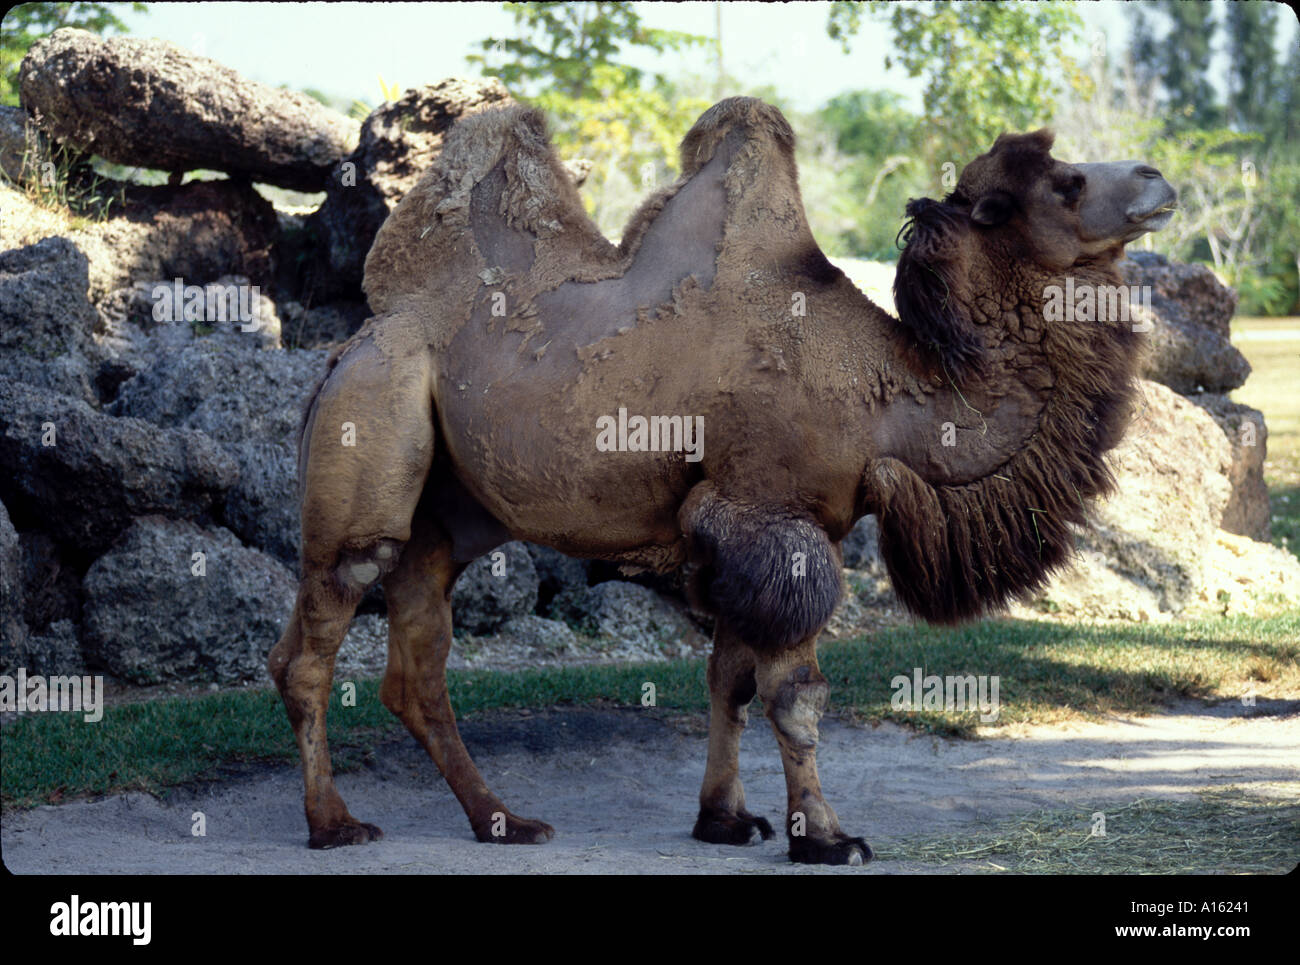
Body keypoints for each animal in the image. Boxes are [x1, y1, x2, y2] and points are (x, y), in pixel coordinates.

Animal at [268, 96, 1176, 864]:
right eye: (1066, 182)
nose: (1157, 179)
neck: (885, 391)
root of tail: (347, 346)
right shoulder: (769, 514)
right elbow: (795, 694)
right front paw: (828, 837)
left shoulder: (758, 529)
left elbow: (731, 678)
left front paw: (727, 820)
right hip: (374, 419)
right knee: (321, 629)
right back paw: (334, 823)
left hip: (447, 512)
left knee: (416, 663)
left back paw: (503, 818)